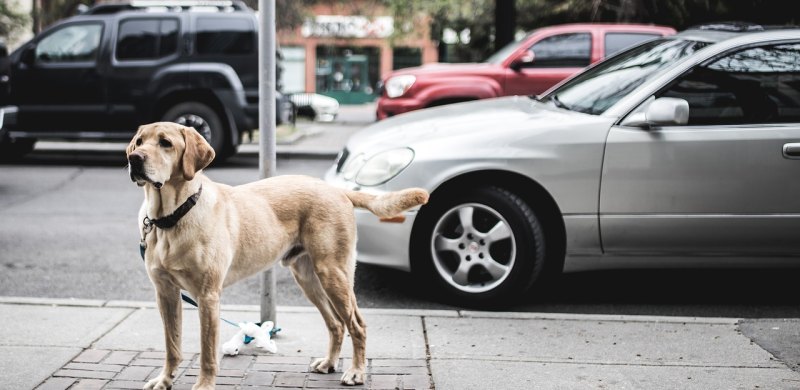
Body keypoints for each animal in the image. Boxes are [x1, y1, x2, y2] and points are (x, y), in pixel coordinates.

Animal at [127, 122, 432, 390]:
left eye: (165, 143)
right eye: (140, 141)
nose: (133, 158)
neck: (170, 218)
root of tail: (336, 190)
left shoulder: (208, 296)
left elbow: (207, 352)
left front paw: (203, 385)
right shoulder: (166, 294)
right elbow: (172, 346)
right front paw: (165, 380)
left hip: (334, 273)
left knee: (356, 324)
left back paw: (356, 372)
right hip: (309, 278)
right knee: (335, 324)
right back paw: (329, 363)